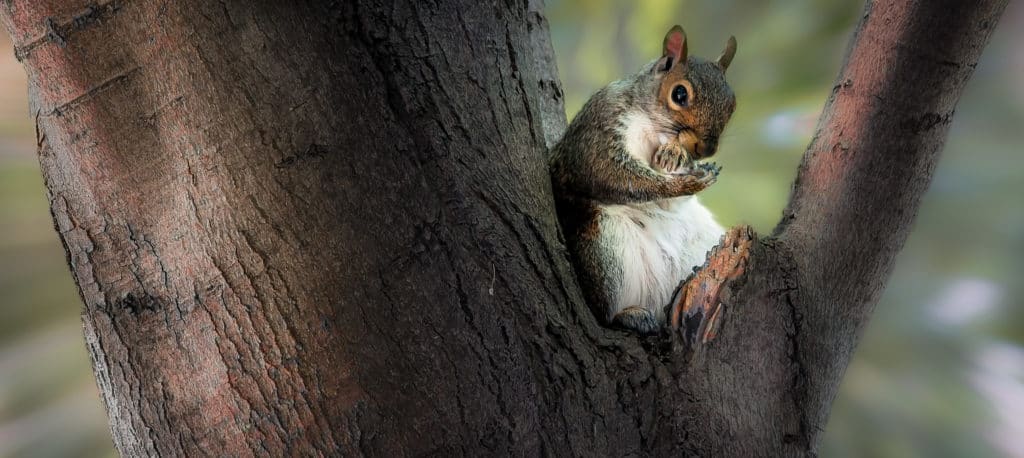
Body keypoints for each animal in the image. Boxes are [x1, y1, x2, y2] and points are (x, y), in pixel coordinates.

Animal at [549, 25, 738, 335]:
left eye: (732, 104)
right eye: (679, 94)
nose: (707, 149)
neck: (654, 127)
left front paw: (675, 155)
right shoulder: (599, 126)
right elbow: (606, 172)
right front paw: (687, 182)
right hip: (604, 248)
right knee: (605, 312)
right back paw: (628, 314)